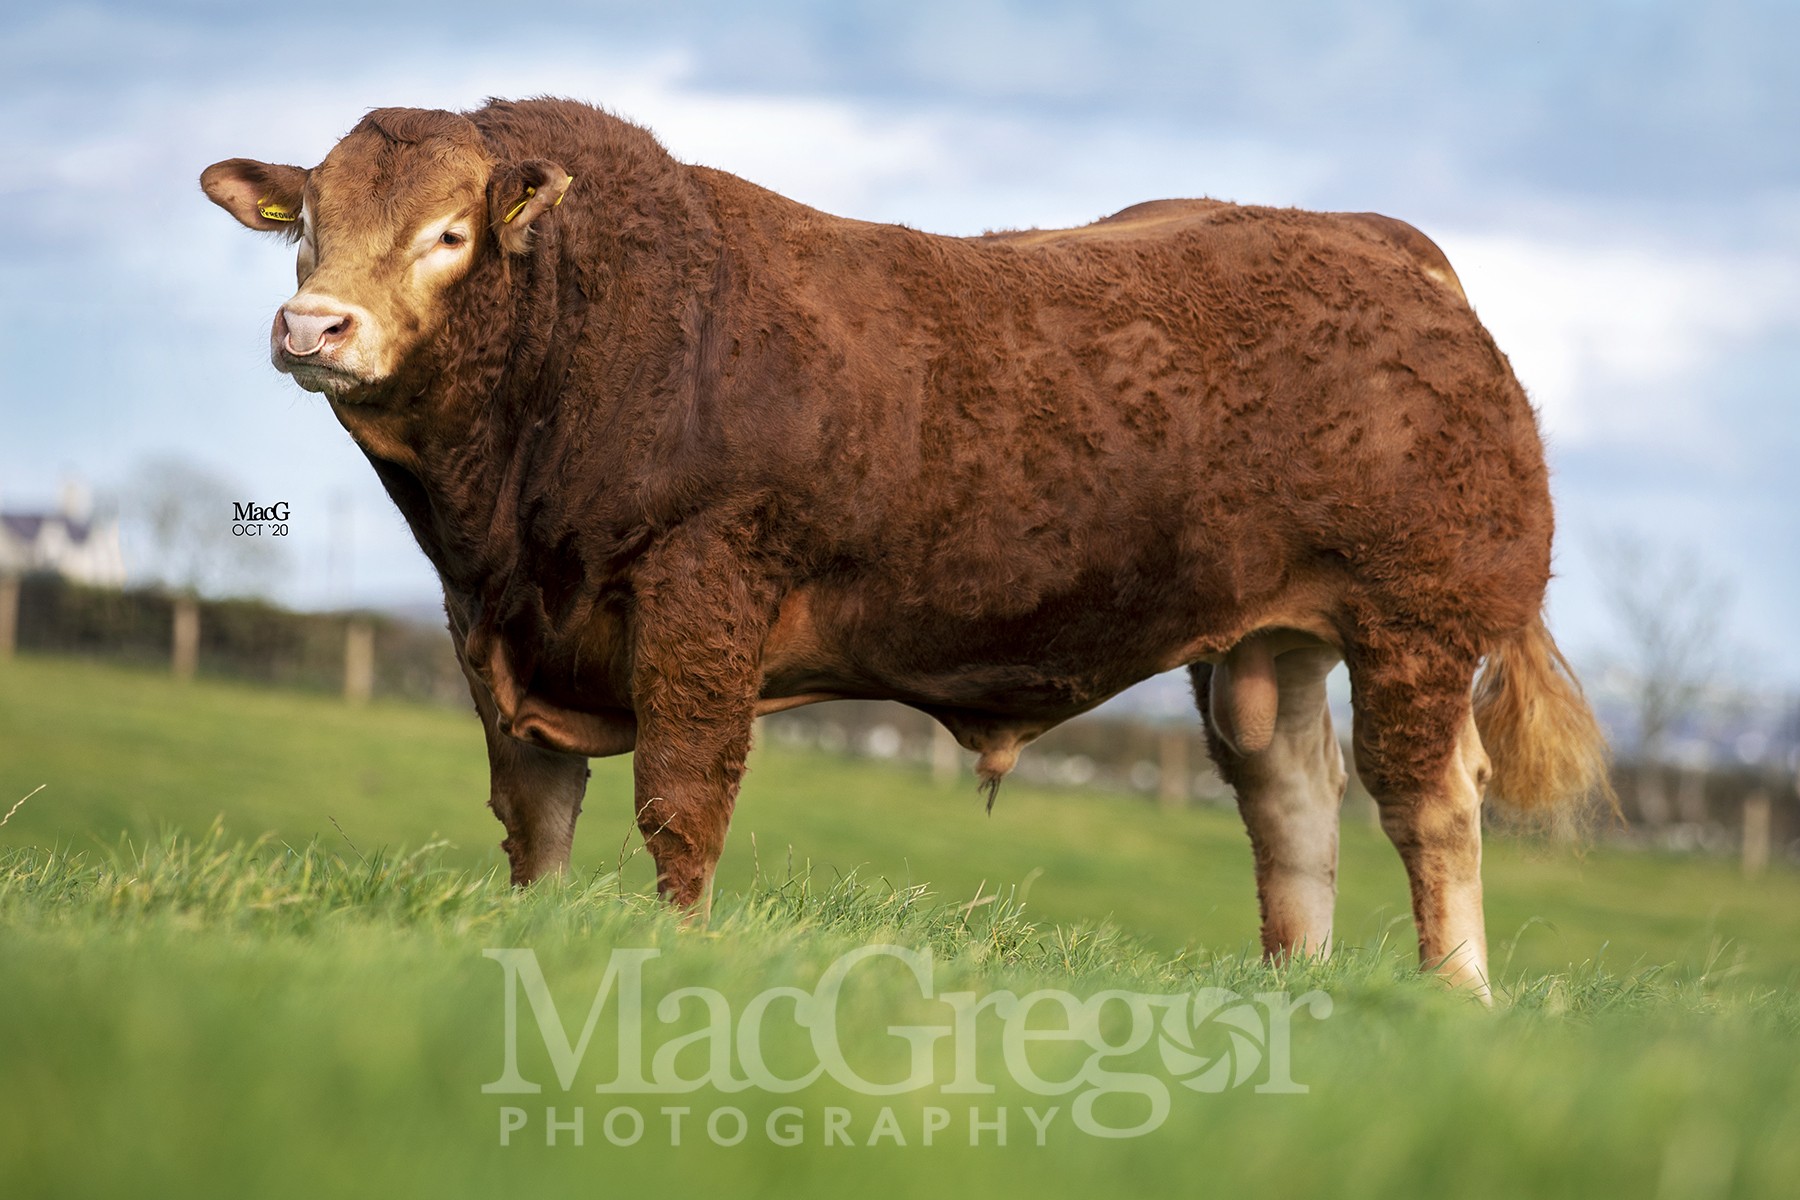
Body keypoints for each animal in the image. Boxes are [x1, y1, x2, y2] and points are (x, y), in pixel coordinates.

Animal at [202, 98, 1611, 998]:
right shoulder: (491, 625)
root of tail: (1385, 246)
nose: (313, 325)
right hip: (1268, 640)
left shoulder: (704, 587)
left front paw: (675, 966)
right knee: (1293, 798)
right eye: (304, 224)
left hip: (1415, 622)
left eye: (450, 234)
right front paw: (531, 948)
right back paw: (1301, 995)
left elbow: (681, 802)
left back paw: (1453, 1001)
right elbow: (533, 813)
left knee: (1431, 806)